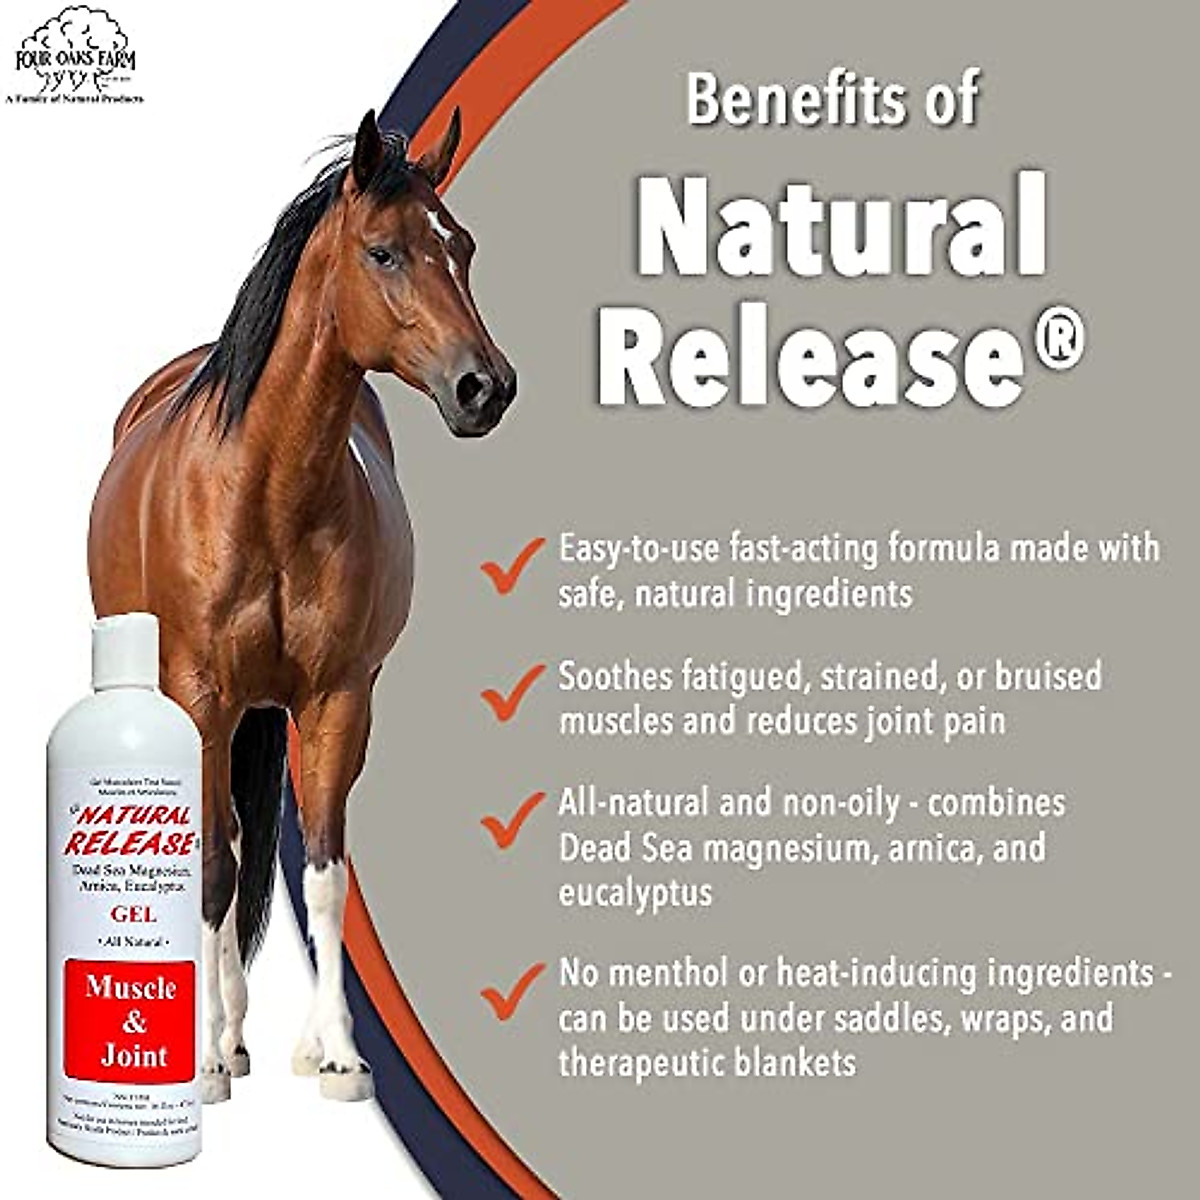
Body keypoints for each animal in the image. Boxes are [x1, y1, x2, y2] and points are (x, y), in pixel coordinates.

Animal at [87, 109, 515, 1104]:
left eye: (462, 246)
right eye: (383, 251)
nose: (486, 387)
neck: (267, 492)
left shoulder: (336, 702)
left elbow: (321, 877)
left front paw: (339, 1054)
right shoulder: (202, 700)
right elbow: (211, 867)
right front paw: (205, 1061)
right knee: (229, 854)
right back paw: (223, 1037)